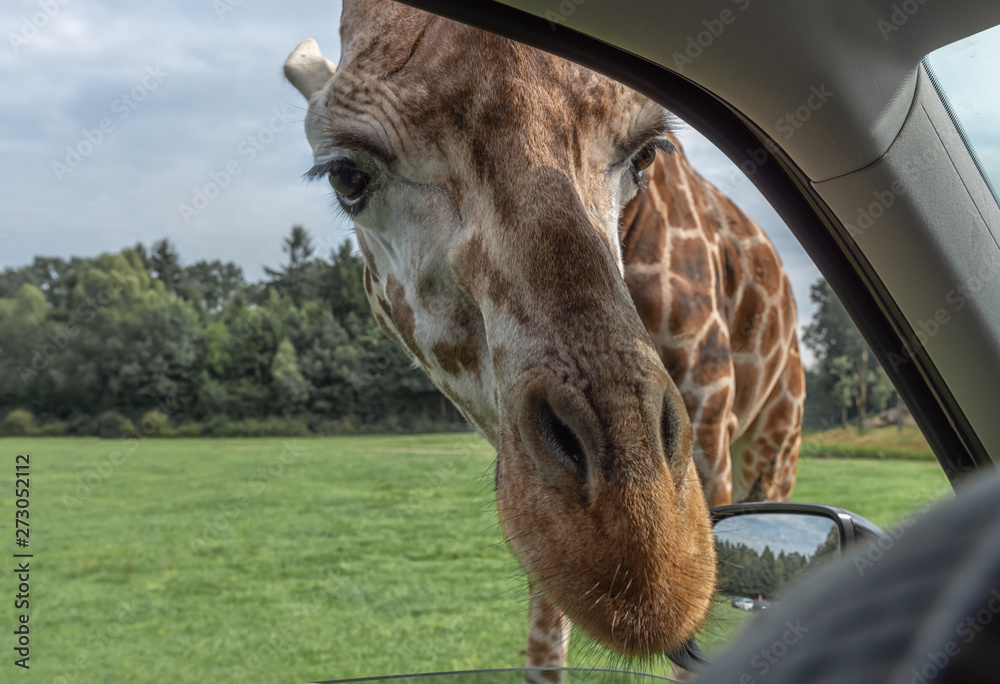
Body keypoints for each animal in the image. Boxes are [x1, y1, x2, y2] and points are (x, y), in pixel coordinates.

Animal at [283, 0, 804, 671]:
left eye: (646, 154)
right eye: (346, 176)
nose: (648, 546)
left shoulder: (710, 409)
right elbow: (542, 641)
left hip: (777, 432)